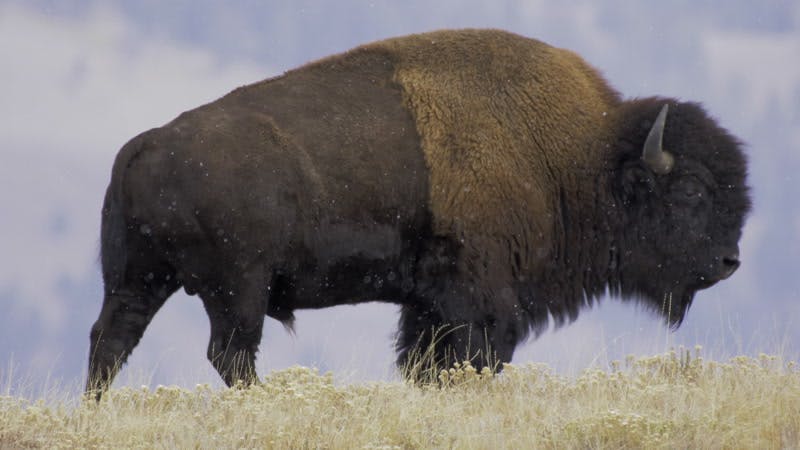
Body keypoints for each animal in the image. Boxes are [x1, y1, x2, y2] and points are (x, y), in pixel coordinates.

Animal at [86, 29, 751, 397]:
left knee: (111, 339)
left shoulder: (426, 304)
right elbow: (470, 358)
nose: (729, 261)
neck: (576, 155)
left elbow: (424, 362)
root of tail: (145, 146)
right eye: (691, 190)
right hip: (237, 287)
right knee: (230, 354)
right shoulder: (477, 300)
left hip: (139, 278)